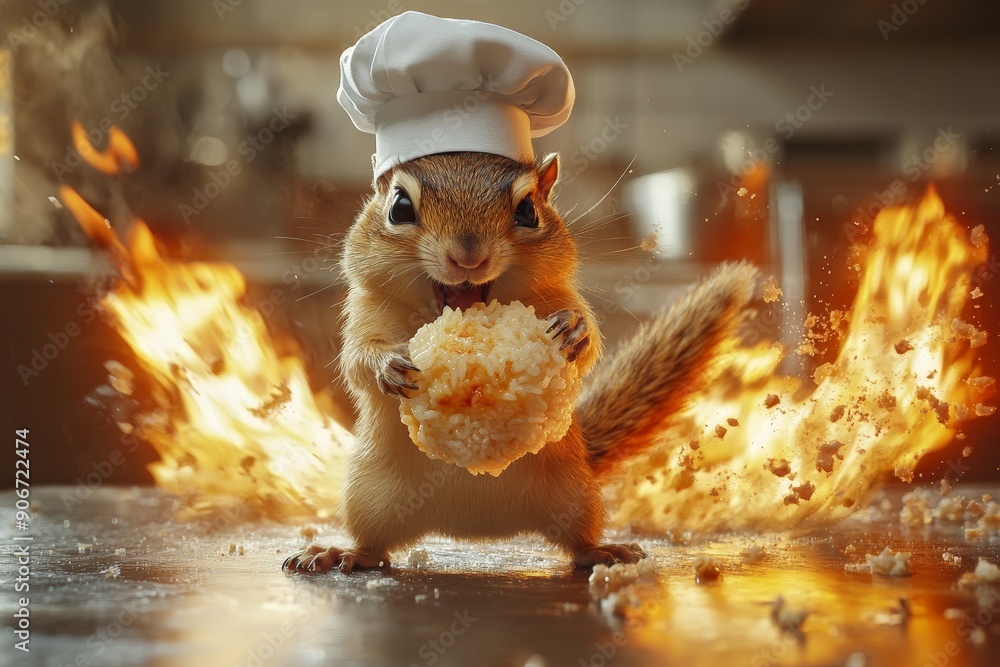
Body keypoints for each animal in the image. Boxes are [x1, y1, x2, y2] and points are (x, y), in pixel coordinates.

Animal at [283, 151, 756, 574]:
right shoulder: (365, 312)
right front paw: (387, 365)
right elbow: (357, 360)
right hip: (368, 496)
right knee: (374, 545)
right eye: (399, 207)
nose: (469, 257)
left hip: (575, 496)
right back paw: (342, 553)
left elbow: (590, 343)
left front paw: (575, 331)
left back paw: (602, 551)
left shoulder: (562, 293)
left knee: (577, 542)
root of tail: (476, 528)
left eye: (529, 210)